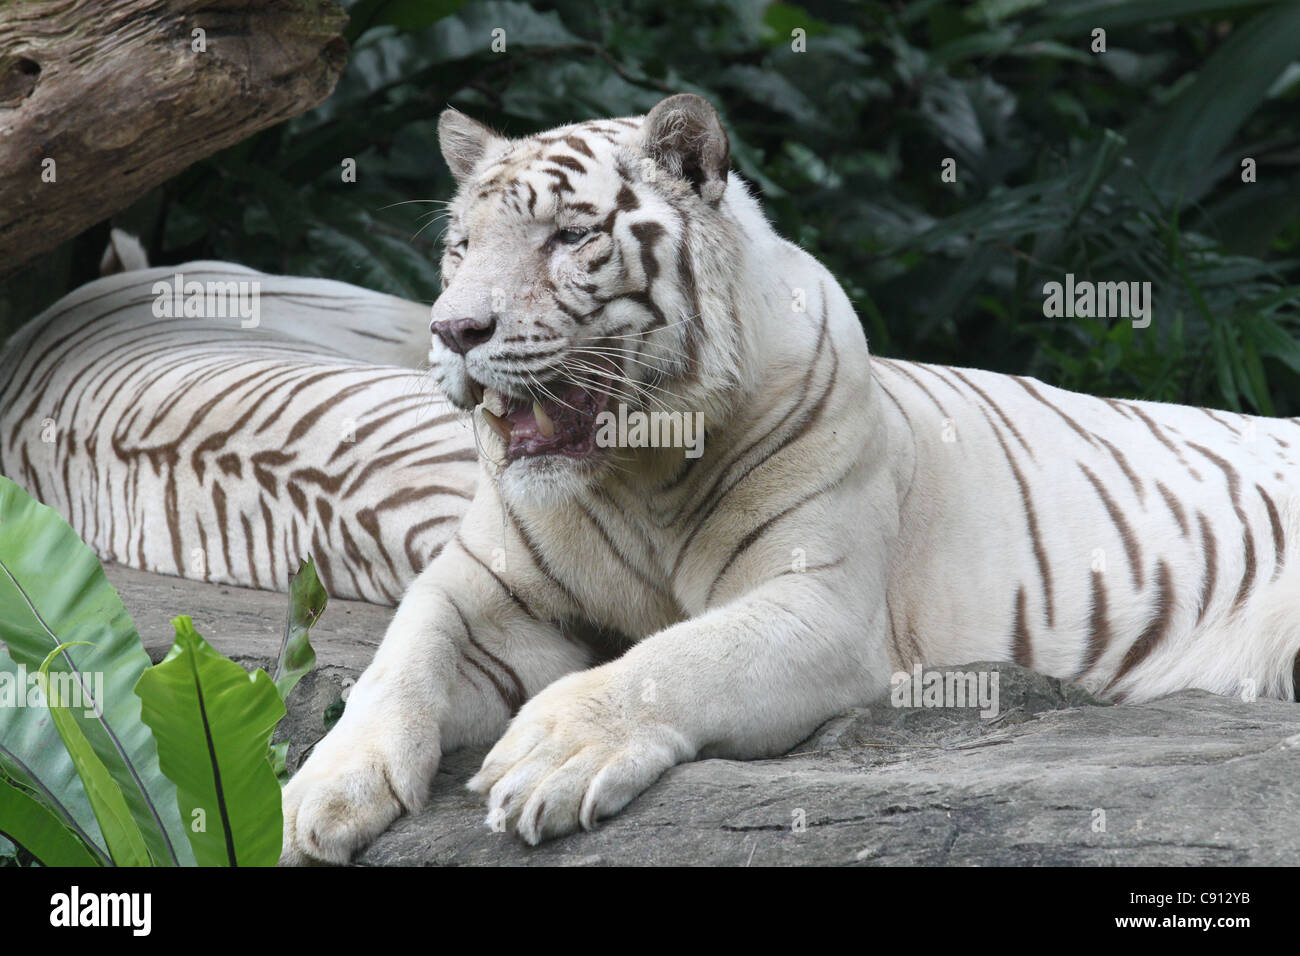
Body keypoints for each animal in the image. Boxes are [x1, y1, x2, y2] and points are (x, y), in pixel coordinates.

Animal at [2, 94, 1298, 867]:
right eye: (461, 243)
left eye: (568, 237)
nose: (454, 330)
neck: (631, 470)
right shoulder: (484, 585)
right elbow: (398, 660)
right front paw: (320, 791)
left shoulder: (815, 604)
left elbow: (673, 657)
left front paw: (544, 759)